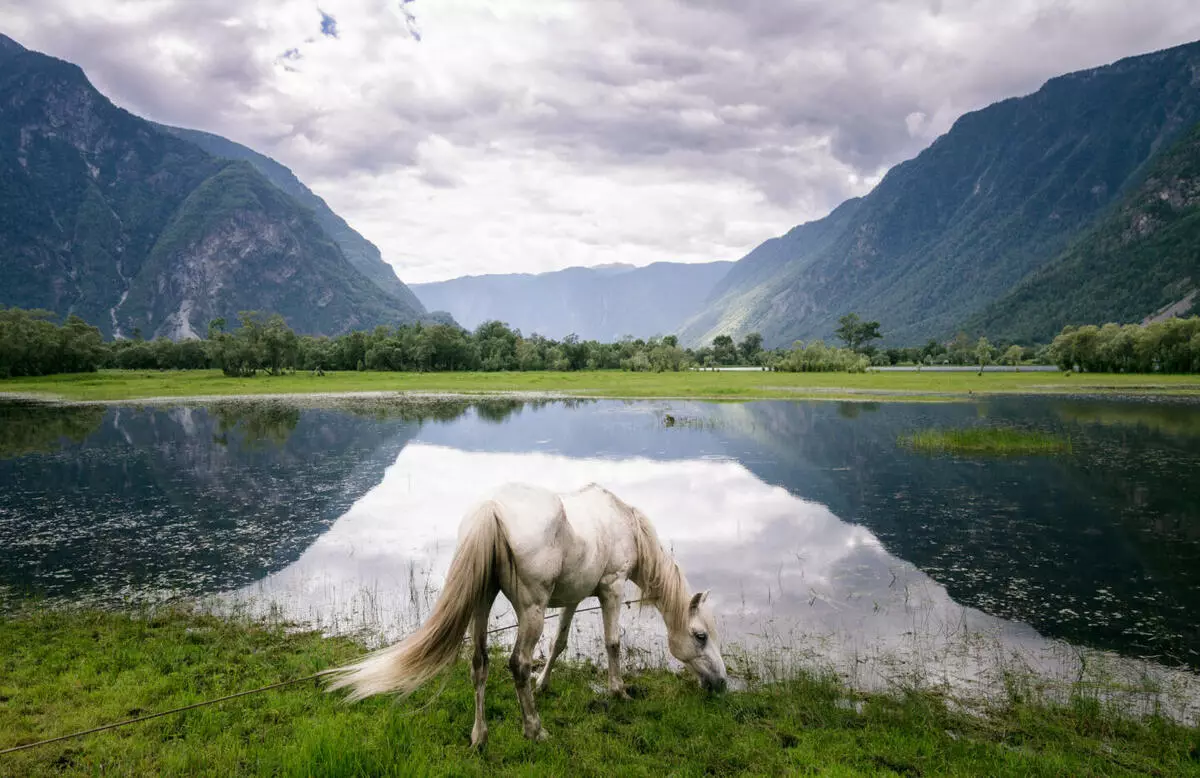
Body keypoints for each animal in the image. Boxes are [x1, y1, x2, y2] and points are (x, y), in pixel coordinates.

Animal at [324, 482, 724, 744]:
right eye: (700, 635)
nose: (720, 684)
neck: (623, 522)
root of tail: (492, 508)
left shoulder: (574, 598)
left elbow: (560, 642)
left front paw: (544, 683)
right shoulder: (611, 588)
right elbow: (612, 643)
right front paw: (619, 691)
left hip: (482, 604)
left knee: (479, 663)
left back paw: (480, 736)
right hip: (531, 609)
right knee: (517, 663)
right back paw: (534, 729)